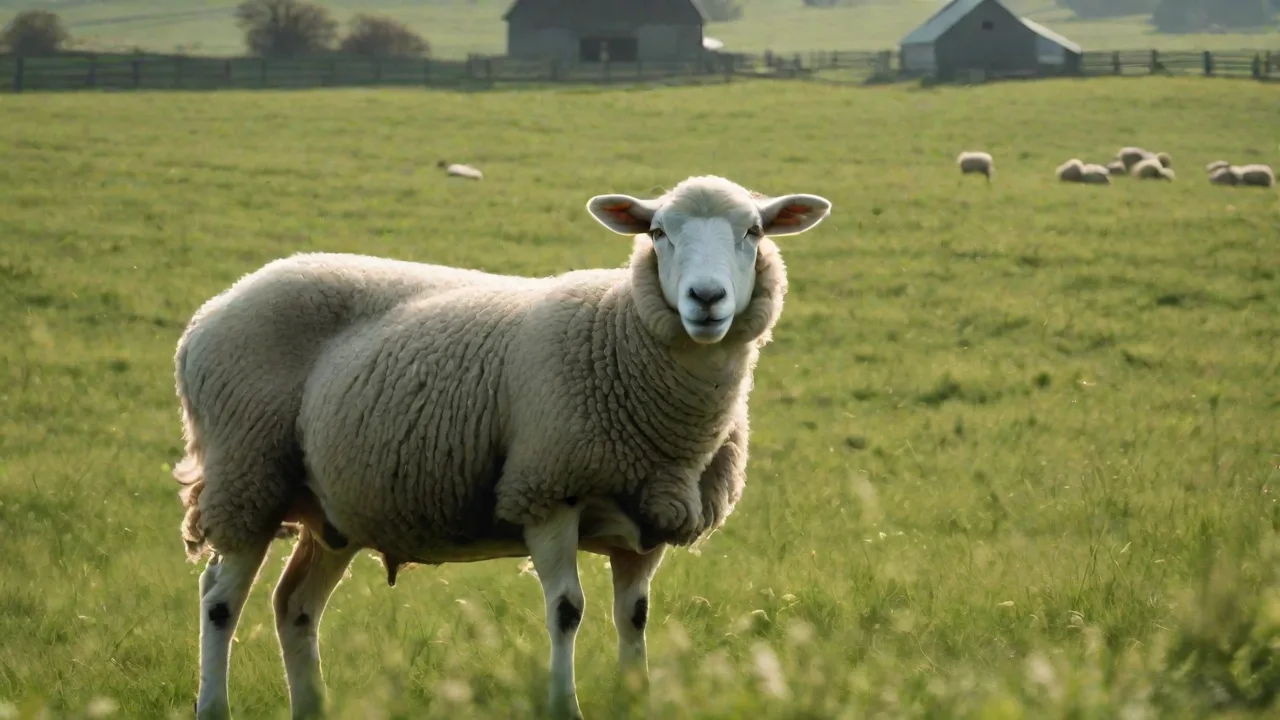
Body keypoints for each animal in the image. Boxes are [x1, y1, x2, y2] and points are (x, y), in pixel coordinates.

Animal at [172, 175, 832, 720]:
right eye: (658, 232)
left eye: (753, 231)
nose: (706, 298)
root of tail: (206, 316)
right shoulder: (546, 491)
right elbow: (567, 610)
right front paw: (564, 708)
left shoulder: (650, 518)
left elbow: (634, 618)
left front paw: (635, 699)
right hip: (246, 475)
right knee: (219, 602)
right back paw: (213, 706)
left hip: (330, 510)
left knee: (295, 607)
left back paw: (311, 708)